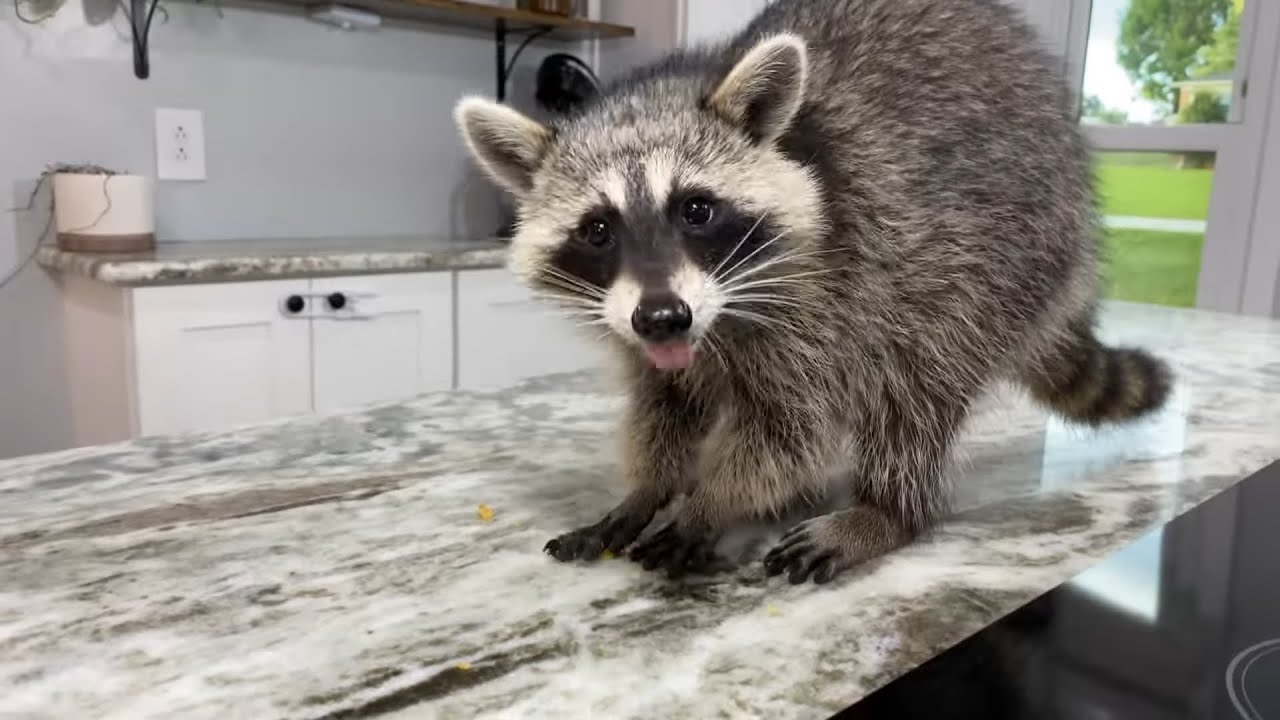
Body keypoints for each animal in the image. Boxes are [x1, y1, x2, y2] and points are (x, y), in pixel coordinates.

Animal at [452, 0, 1172, 584]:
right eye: (598, 229)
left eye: (696, 210)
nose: (663, 318)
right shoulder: (640, 333)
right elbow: (664, 407)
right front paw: (647, 489)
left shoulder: (837, 290)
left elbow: (789, 430)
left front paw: (712, 500)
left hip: (1004, 255)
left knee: (922, 376)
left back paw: (888, 510)